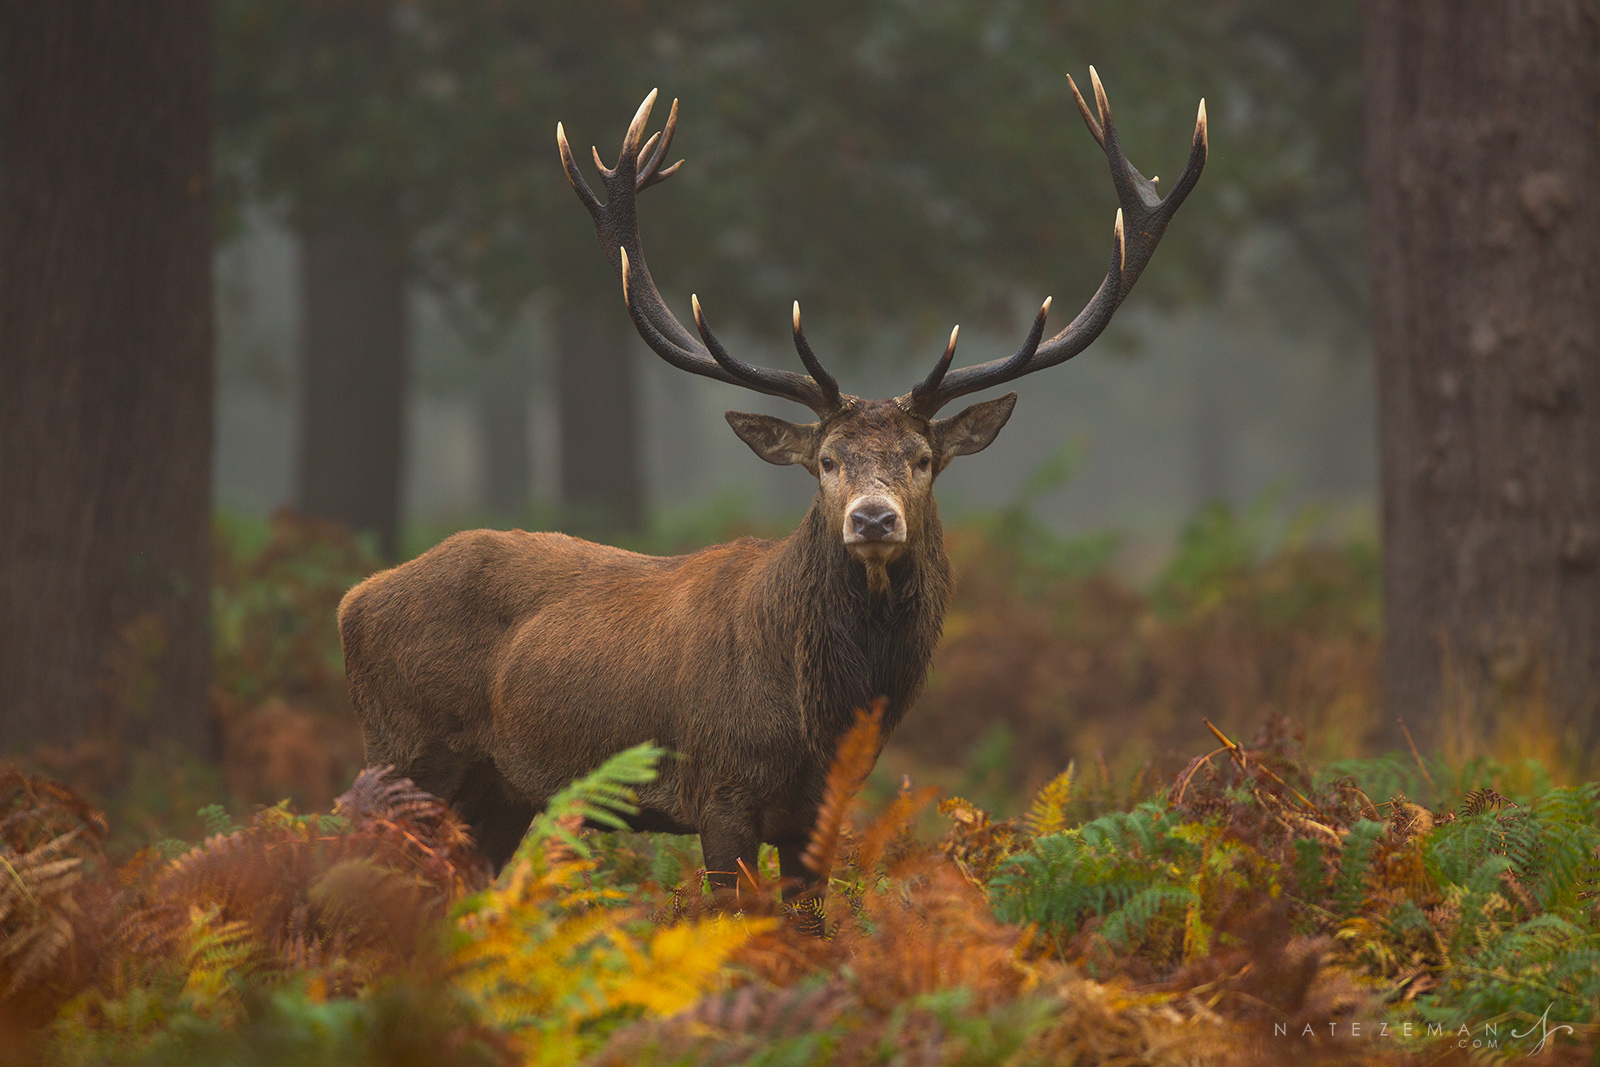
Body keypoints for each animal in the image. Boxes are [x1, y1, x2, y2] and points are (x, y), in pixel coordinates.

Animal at [337, 71, 1206, 917]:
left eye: (923, 458)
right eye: (824, 459)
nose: (873, 518)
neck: (818, 718)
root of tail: (352, 599)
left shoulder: (821, 807)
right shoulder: (721, 788)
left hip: (501, 790)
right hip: (405, 751)